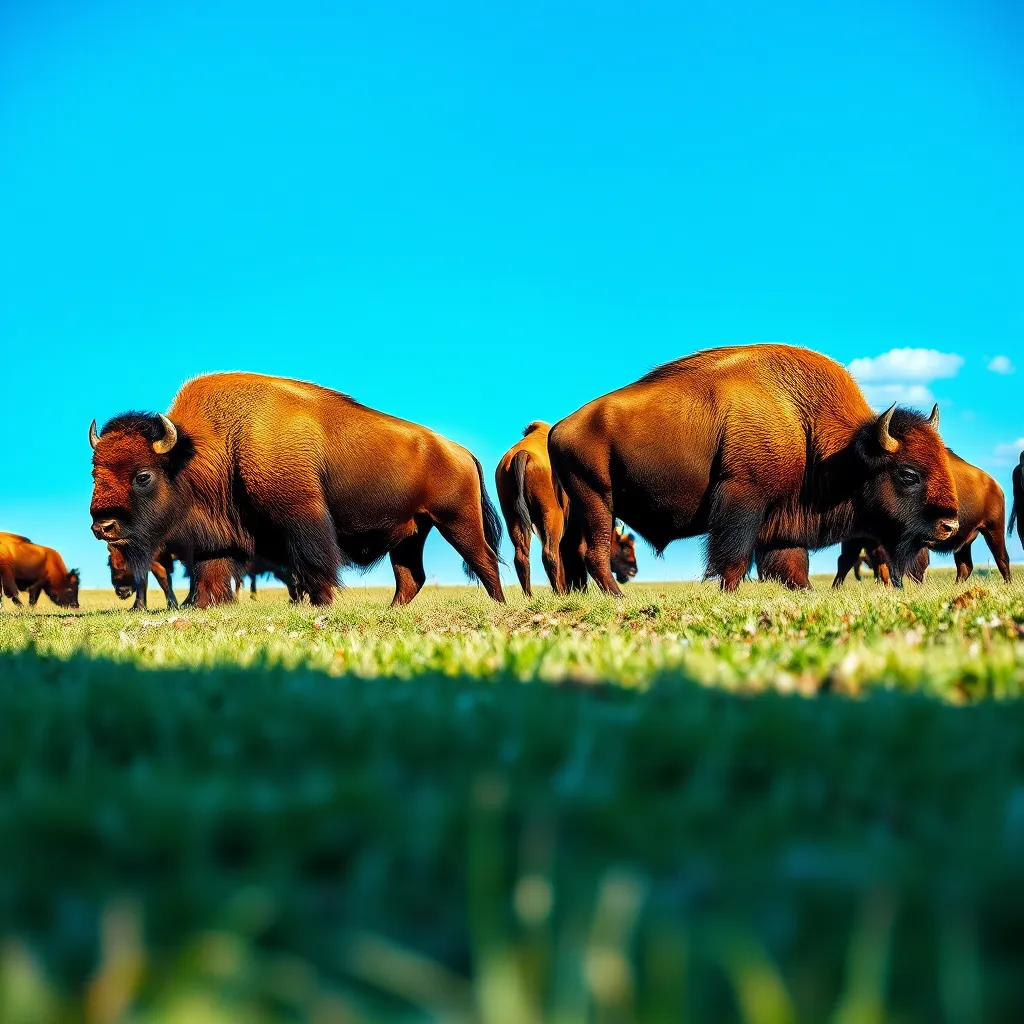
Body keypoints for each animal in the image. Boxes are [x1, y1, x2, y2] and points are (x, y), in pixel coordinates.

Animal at [89, 373, 505, 608]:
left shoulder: (301, 515)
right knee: (410, 577)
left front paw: (320, 604)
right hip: (410, 534)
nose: (102, 526)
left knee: (483, 560)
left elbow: (313, 563)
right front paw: (200, 605)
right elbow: (209, 571)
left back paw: (498, 607)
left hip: (456, 521)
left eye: (143, 476)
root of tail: (459, 450)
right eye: (94, 472)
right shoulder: (220, 536)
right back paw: (393, 612)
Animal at [548, 344, 960, 594]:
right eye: (908, 473)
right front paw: (727, 592)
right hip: (597, 498)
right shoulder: (743, 499)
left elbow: (791, 564)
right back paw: (617, 597)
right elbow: (733, 559)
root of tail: (559, 428)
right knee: (595, 551)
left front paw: (804, 591)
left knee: (574, 551)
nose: (949, 525)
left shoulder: (780, 523)